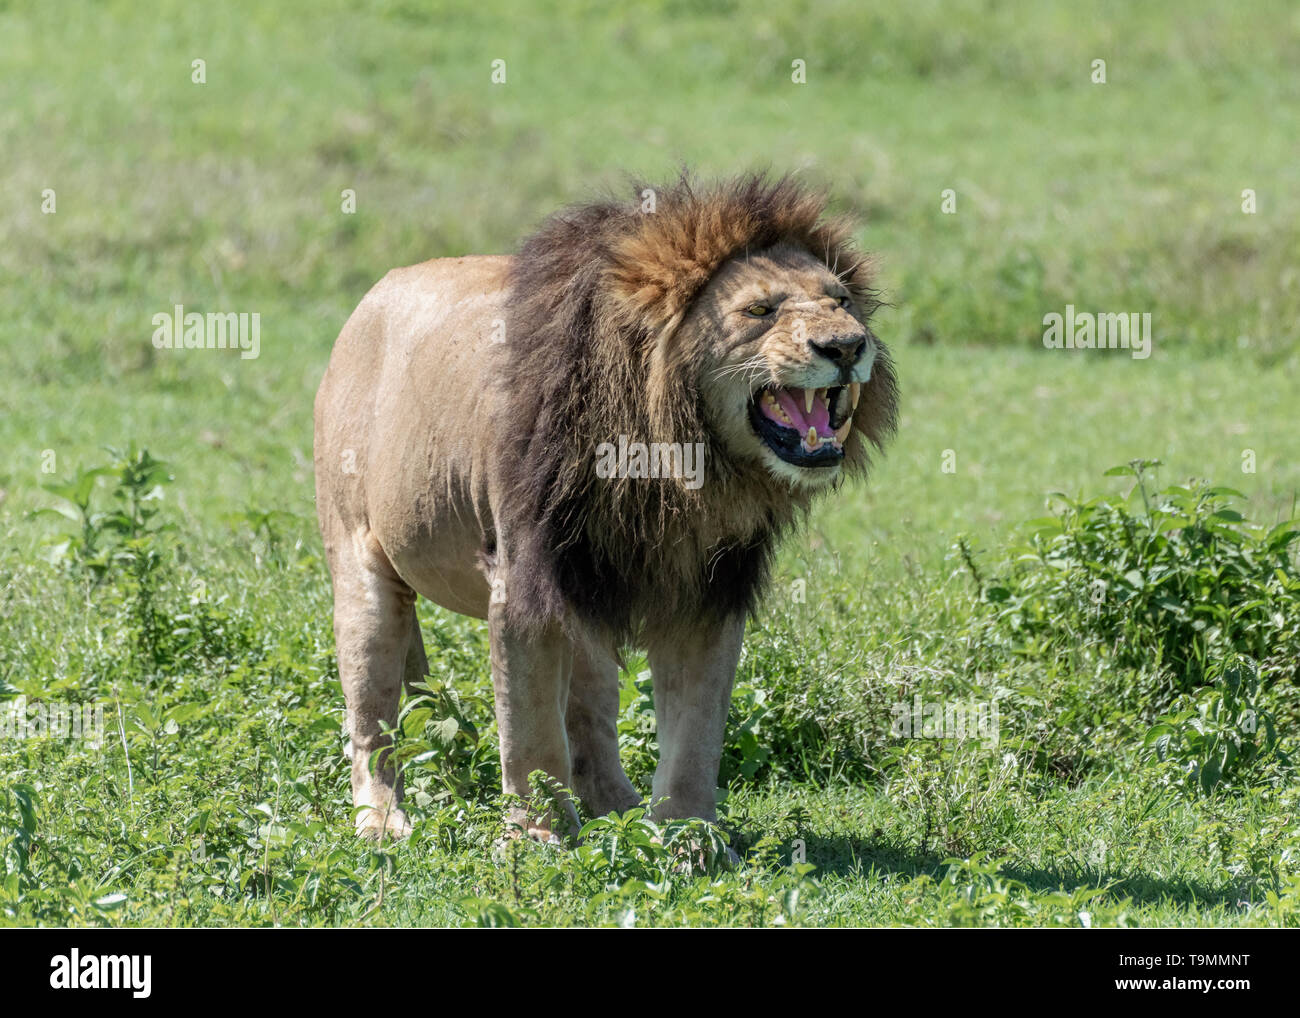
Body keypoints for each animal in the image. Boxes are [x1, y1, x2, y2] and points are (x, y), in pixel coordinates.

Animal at [314, 174, 898, 843]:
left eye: (842, 301)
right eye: (759, 311)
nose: (848, 346)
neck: (681, 467)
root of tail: (373, 294)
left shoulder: (710, 589)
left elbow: (696, 732)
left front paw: (690, 838)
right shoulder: (523, 577)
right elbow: (531, 730)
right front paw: (538, 837)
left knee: (589, 721)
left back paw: (617, 812)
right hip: (362, 569)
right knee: (372, 721)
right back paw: (383, 823)